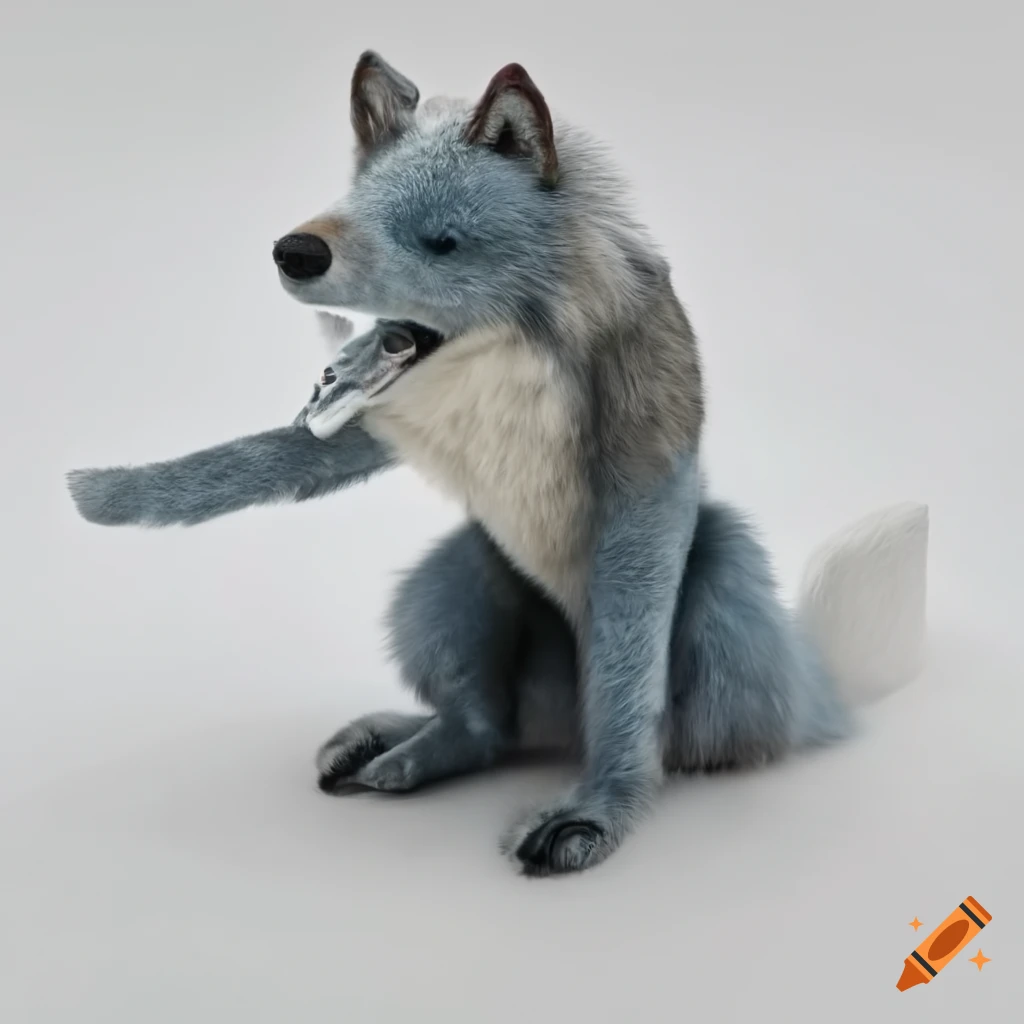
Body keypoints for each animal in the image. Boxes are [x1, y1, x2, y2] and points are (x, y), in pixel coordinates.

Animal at [69, 52, 898, 876]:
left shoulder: (644, 486)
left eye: (442, 242)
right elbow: (240, 464)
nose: (296, 251)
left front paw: (596, 813)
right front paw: (100, 493)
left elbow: (628, 681)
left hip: (721, 574)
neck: (506, 376)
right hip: (451, 578)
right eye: (350, 206)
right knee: (486, 725)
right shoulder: (377, 434)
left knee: (684, 737)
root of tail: (820, 694)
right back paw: (388, 750)